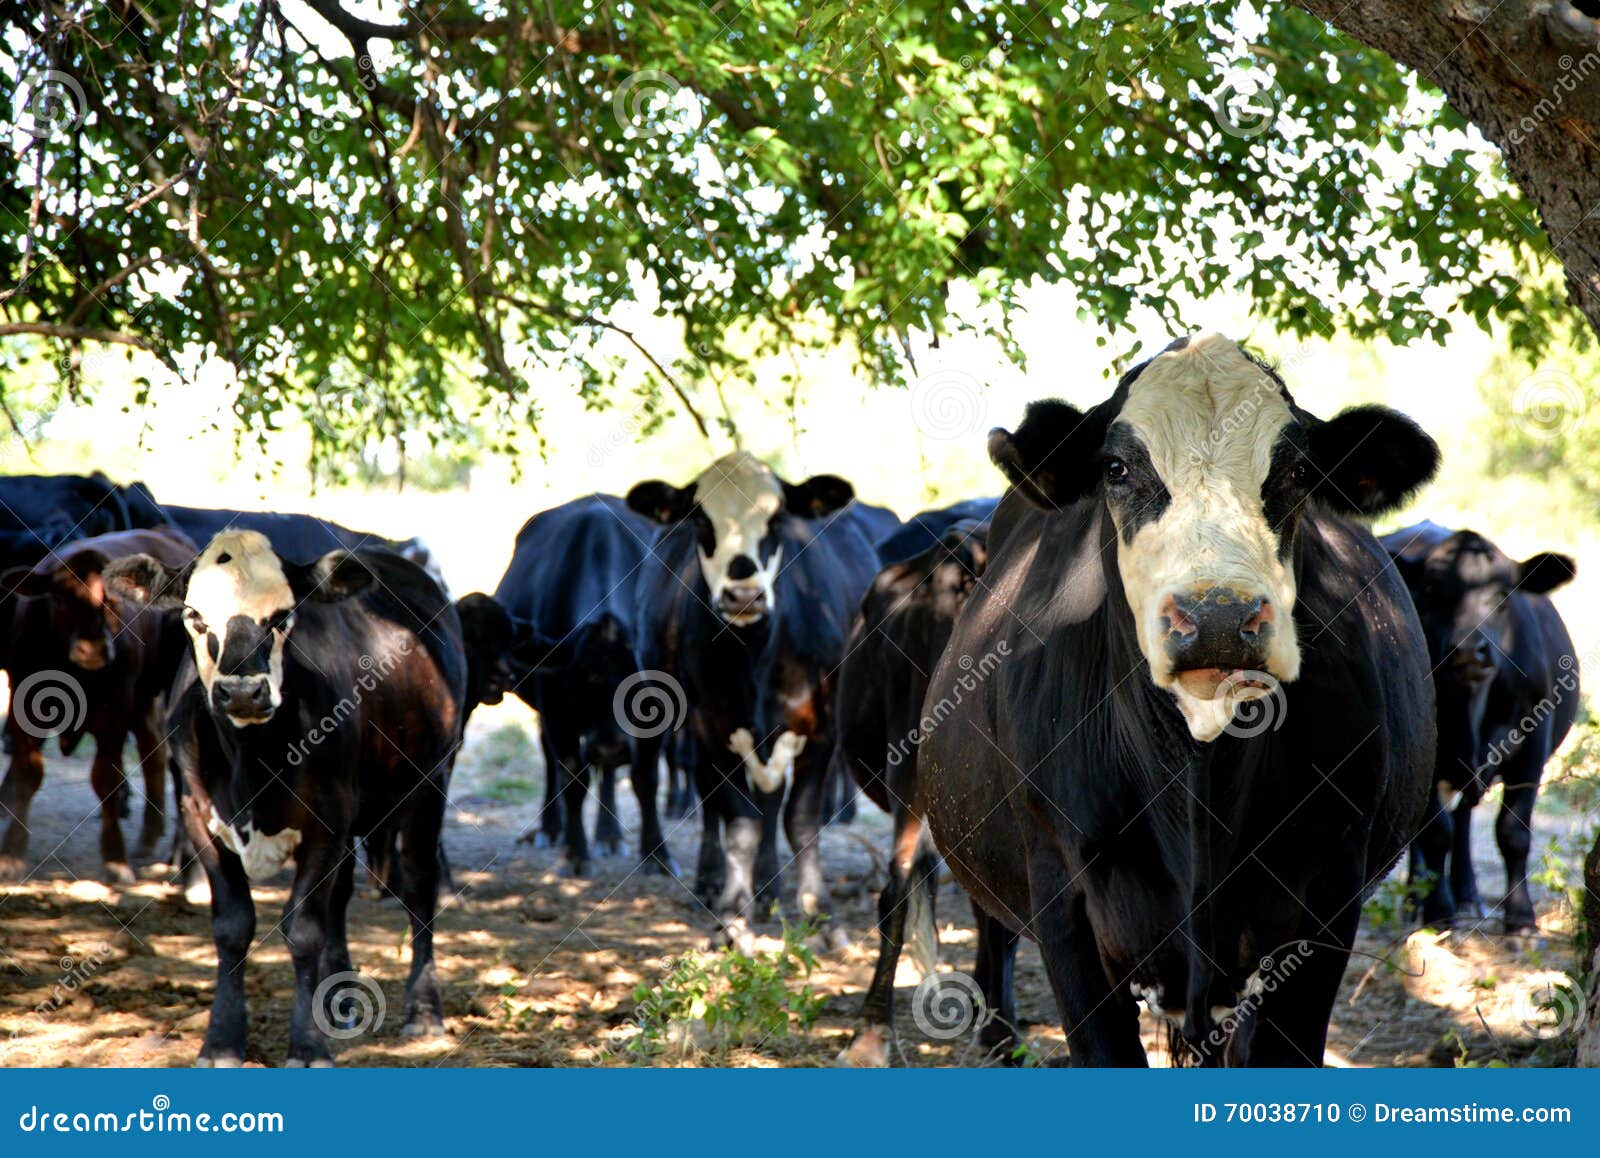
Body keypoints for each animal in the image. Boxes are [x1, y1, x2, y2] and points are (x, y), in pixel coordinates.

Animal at [0, 528, 197, 882]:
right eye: (59, 599)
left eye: (110, 601)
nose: (93, 648)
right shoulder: (23, 706)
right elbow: (27, 774)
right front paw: (11, 854)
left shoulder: (114, 712)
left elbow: (105, 779)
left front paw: (115, 860)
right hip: (144, 699)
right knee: (153, 750)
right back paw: (149, 836)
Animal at [105, 531, 467, 1065]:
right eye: (194, 615)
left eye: (282, 617)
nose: (242, 692)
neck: (250, 761)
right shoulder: (198, 816)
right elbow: (233, 927)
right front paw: (222, 1040)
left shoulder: (327, 817)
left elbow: (303, 931)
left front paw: (308, 1045)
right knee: (340, 895)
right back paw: (339, 998)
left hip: (430, 784)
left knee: (420, 888)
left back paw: (423, 1011)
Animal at [493, 495, 655, 875]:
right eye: (582, 680)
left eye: (637, 682)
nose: (612, 747)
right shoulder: (556, 711)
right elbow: (572, 778)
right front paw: (575, 855)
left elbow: (643, 778)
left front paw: (656, 855)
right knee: (552, 759)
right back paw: (553, 829)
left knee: (605, 774)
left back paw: (609, 836)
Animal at [626, 452, 880, 947]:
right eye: (701, 520)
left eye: (776, 518)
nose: (743, 593)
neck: (757, 654)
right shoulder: (713, 726)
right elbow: (739, 823)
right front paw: (731, 917)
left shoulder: (822, 729)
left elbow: (799, 819)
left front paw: (822, 915)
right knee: (707, 799)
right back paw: (714, 883)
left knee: (772, 803)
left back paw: (770, 889)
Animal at [1382, 521, 1578, 932]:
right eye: (1430, 592)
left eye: (1502, 594)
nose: (1470, 649)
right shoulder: (1430, 754)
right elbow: (1435, 832)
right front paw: (1438, 911)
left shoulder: (1532, 748)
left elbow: (1513, 832)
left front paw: (1521, 919)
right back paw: (1415, 899)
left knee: (1465, 814)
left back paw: (1467, 895)